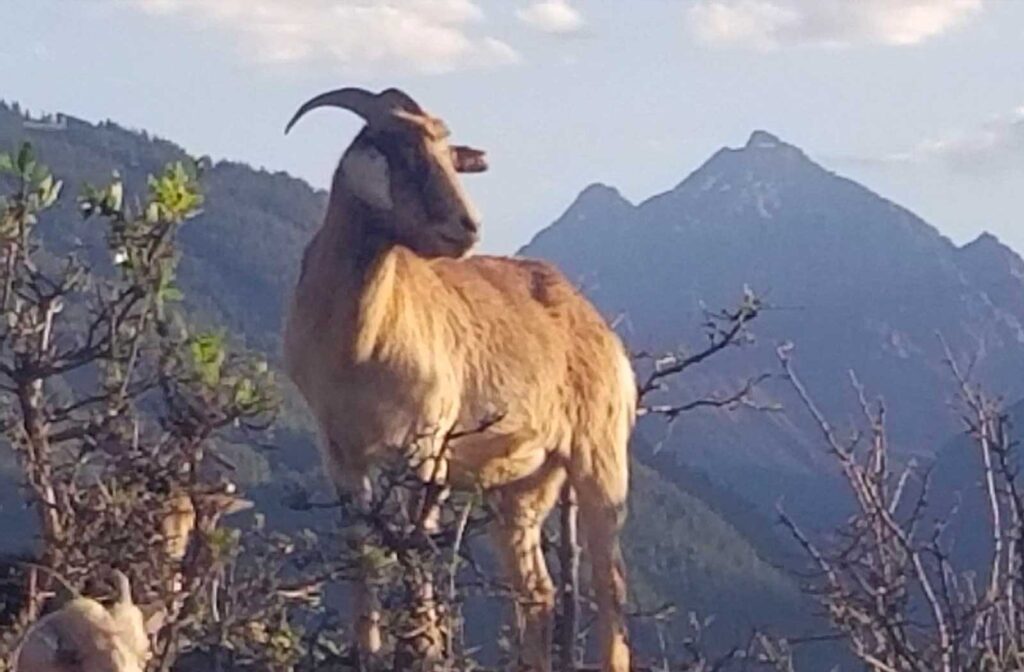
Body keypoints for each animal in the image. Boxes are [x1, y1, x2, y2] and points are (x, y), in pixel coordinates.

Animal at [283, 87, 634, 672]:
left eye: (450, 156)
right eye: (402, 151)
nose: (468, 226)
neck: (356, 344)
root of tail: (602, 333)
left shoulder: (426, 443)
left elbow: (415, 545)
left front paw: (422, 647)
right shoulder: (339, 447)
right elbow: (363, 549)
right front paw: (367, 648)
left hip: (598, 455)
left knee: (610, 585)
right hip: (524, 485)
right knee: (536, 591)